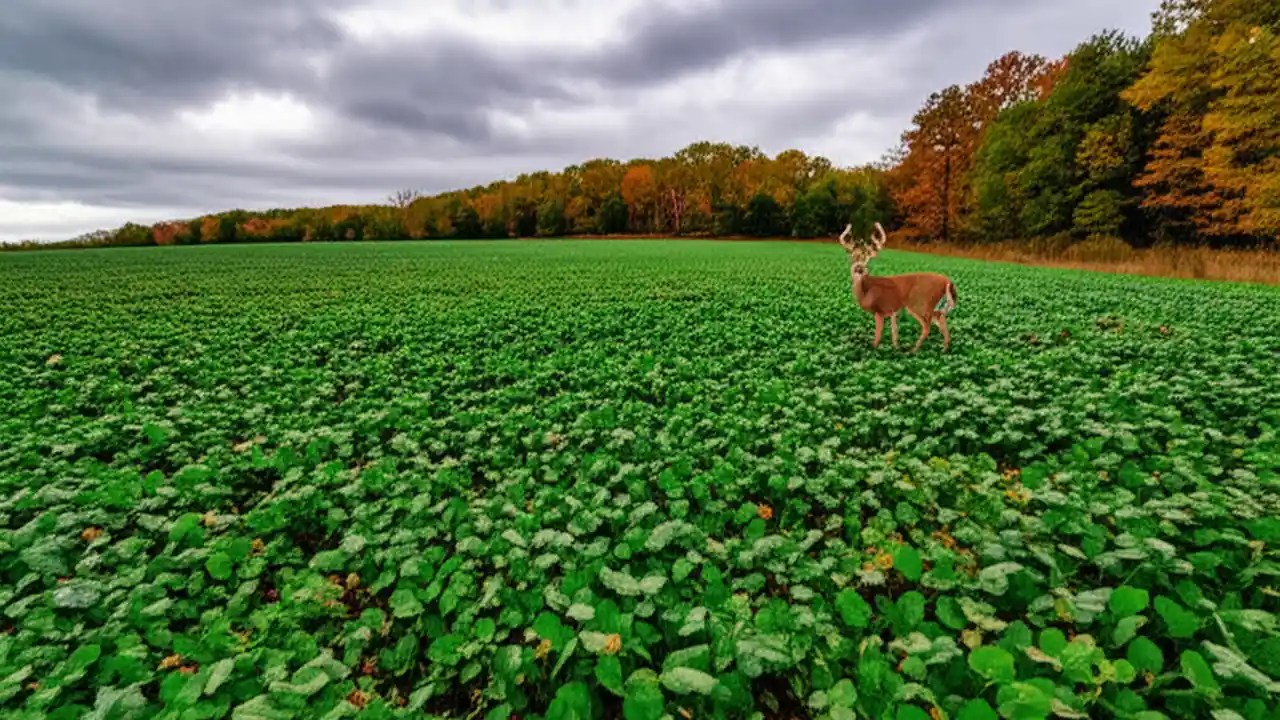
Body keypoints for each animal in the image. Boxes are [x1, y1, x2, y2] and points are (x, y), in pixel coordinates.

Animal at [838, 222, 957, 352]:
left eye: (867, 258)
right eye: (853, 257)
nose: (859, 268)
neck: (865, 292)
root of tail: (947, 281)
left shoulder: (880, 310)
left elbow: (878, 334)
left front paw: (874, 349)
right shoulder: (892, 311)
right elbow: (894, 331)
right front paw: (896, 347)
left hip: (919, 303)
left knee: (927, 325)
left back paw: (912, 350)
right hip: (931, 305)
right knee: (941, 318)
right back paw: (944, 349)